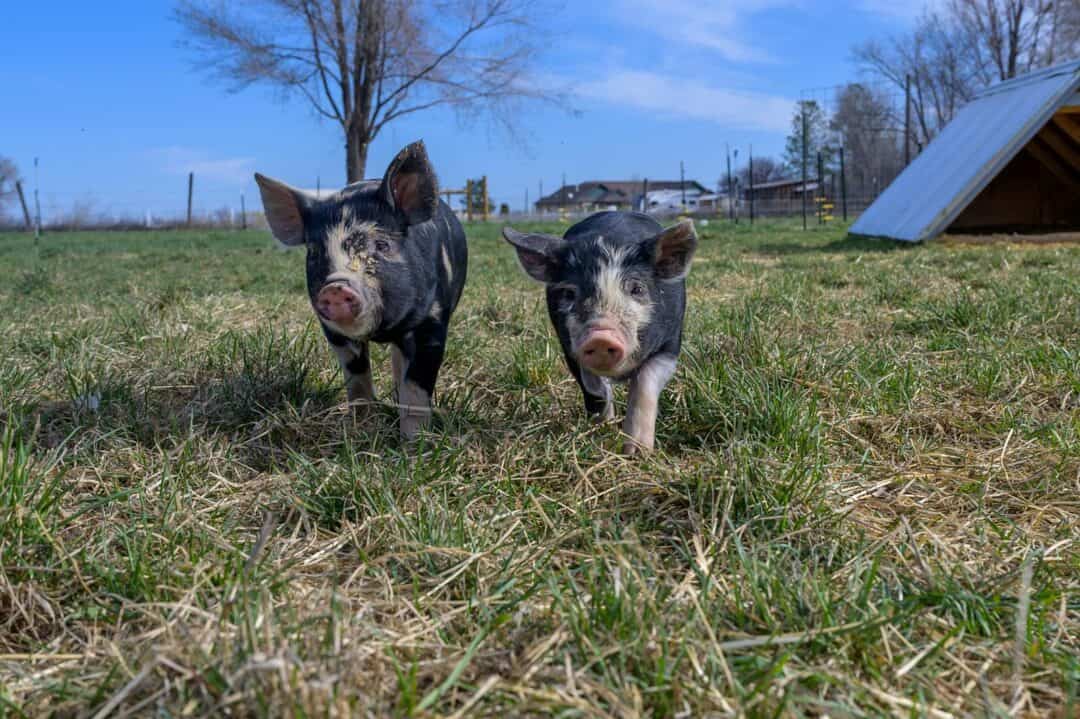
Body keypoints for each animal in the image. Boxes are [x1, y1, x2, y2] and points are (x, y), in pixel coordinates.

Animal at [254, 141, 467, 438]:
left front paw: (414, 442)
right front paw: (360, 429)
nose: (336, 287)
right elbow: (357, 381)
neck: (382, 331)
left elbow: (415, 388)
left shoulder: (434, 322)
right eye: (314, 252)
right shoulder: (334, 333)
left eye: (382, 245)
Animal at [502, 212, 697, 454]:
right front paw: (603, 427)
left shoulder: (670, 343)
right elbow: (591, 384)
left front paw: (637, 452)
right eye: (569, 293)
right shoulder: (569, 348)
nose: (601, 336)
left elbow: (645, 383)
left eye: (637, 289)